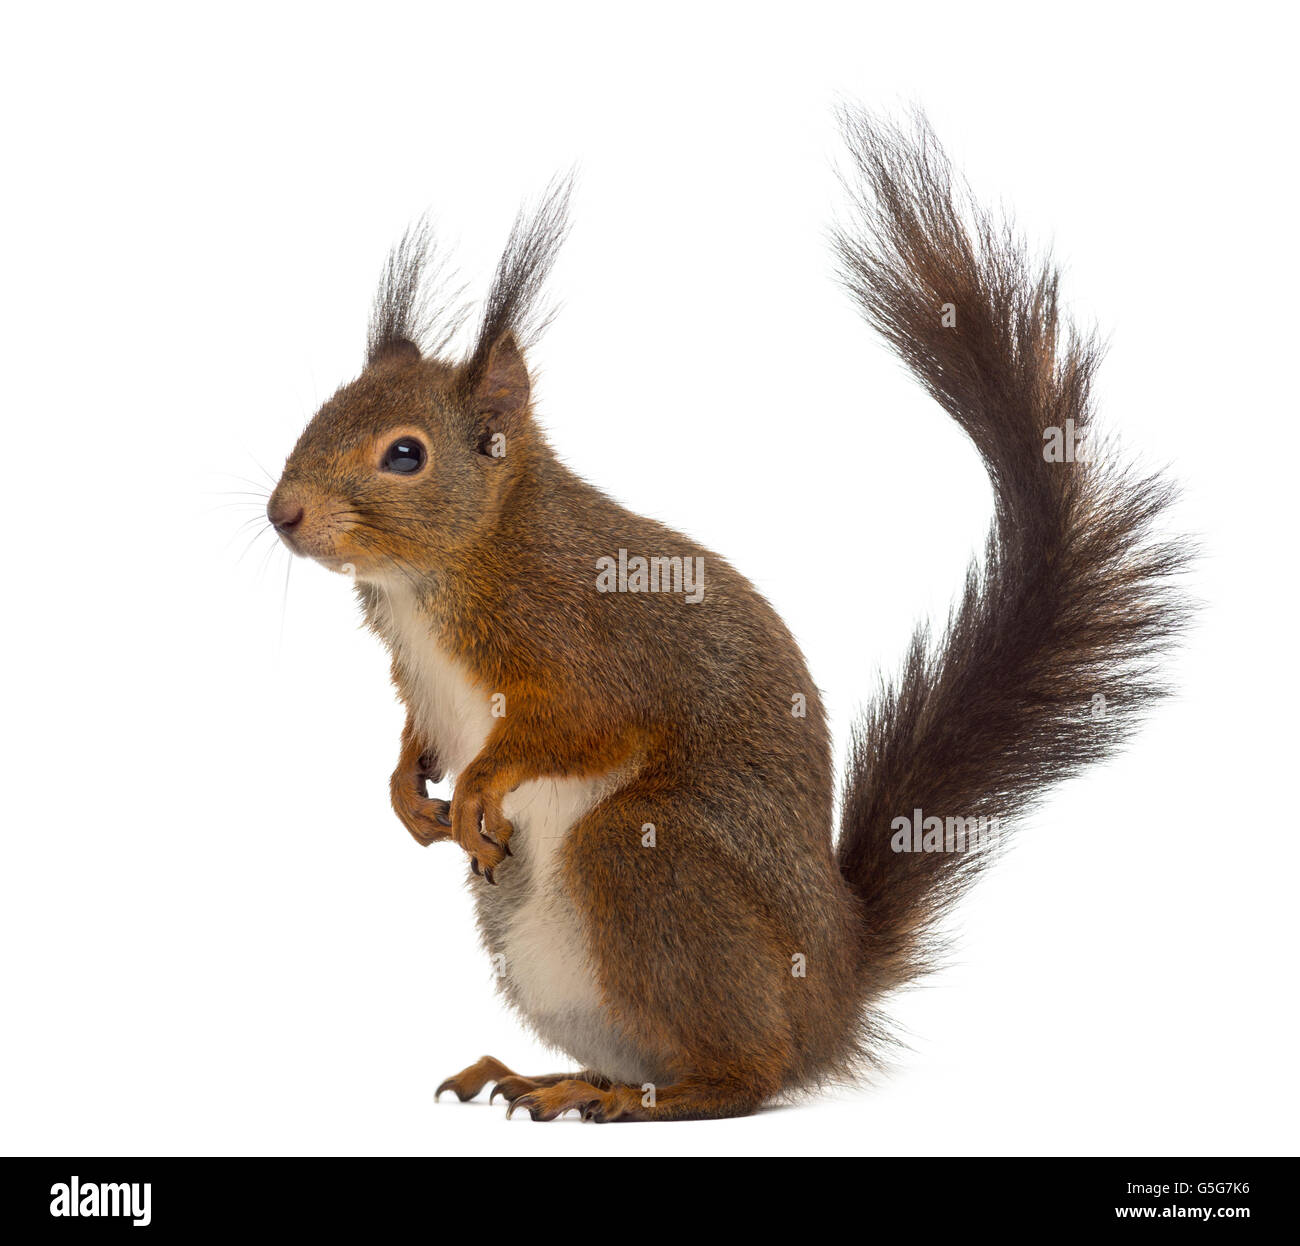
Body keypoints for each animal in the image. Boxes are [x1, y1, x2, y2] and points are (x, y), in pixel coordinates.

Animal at [266, 110, 1190, 1122]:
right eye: (322, 411)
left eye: (405, 454)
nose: (283, 513)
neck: (440, 576)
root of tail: (831, 992)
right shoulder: (424, 682)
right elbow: (418, 736)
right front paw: (406, 794)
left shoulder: (588, 638)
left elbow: (583, 724)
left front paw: (477, 786)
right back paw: (550, 1078)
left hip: (646, 861)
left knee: (749, 1074)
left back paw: (648, 1099)